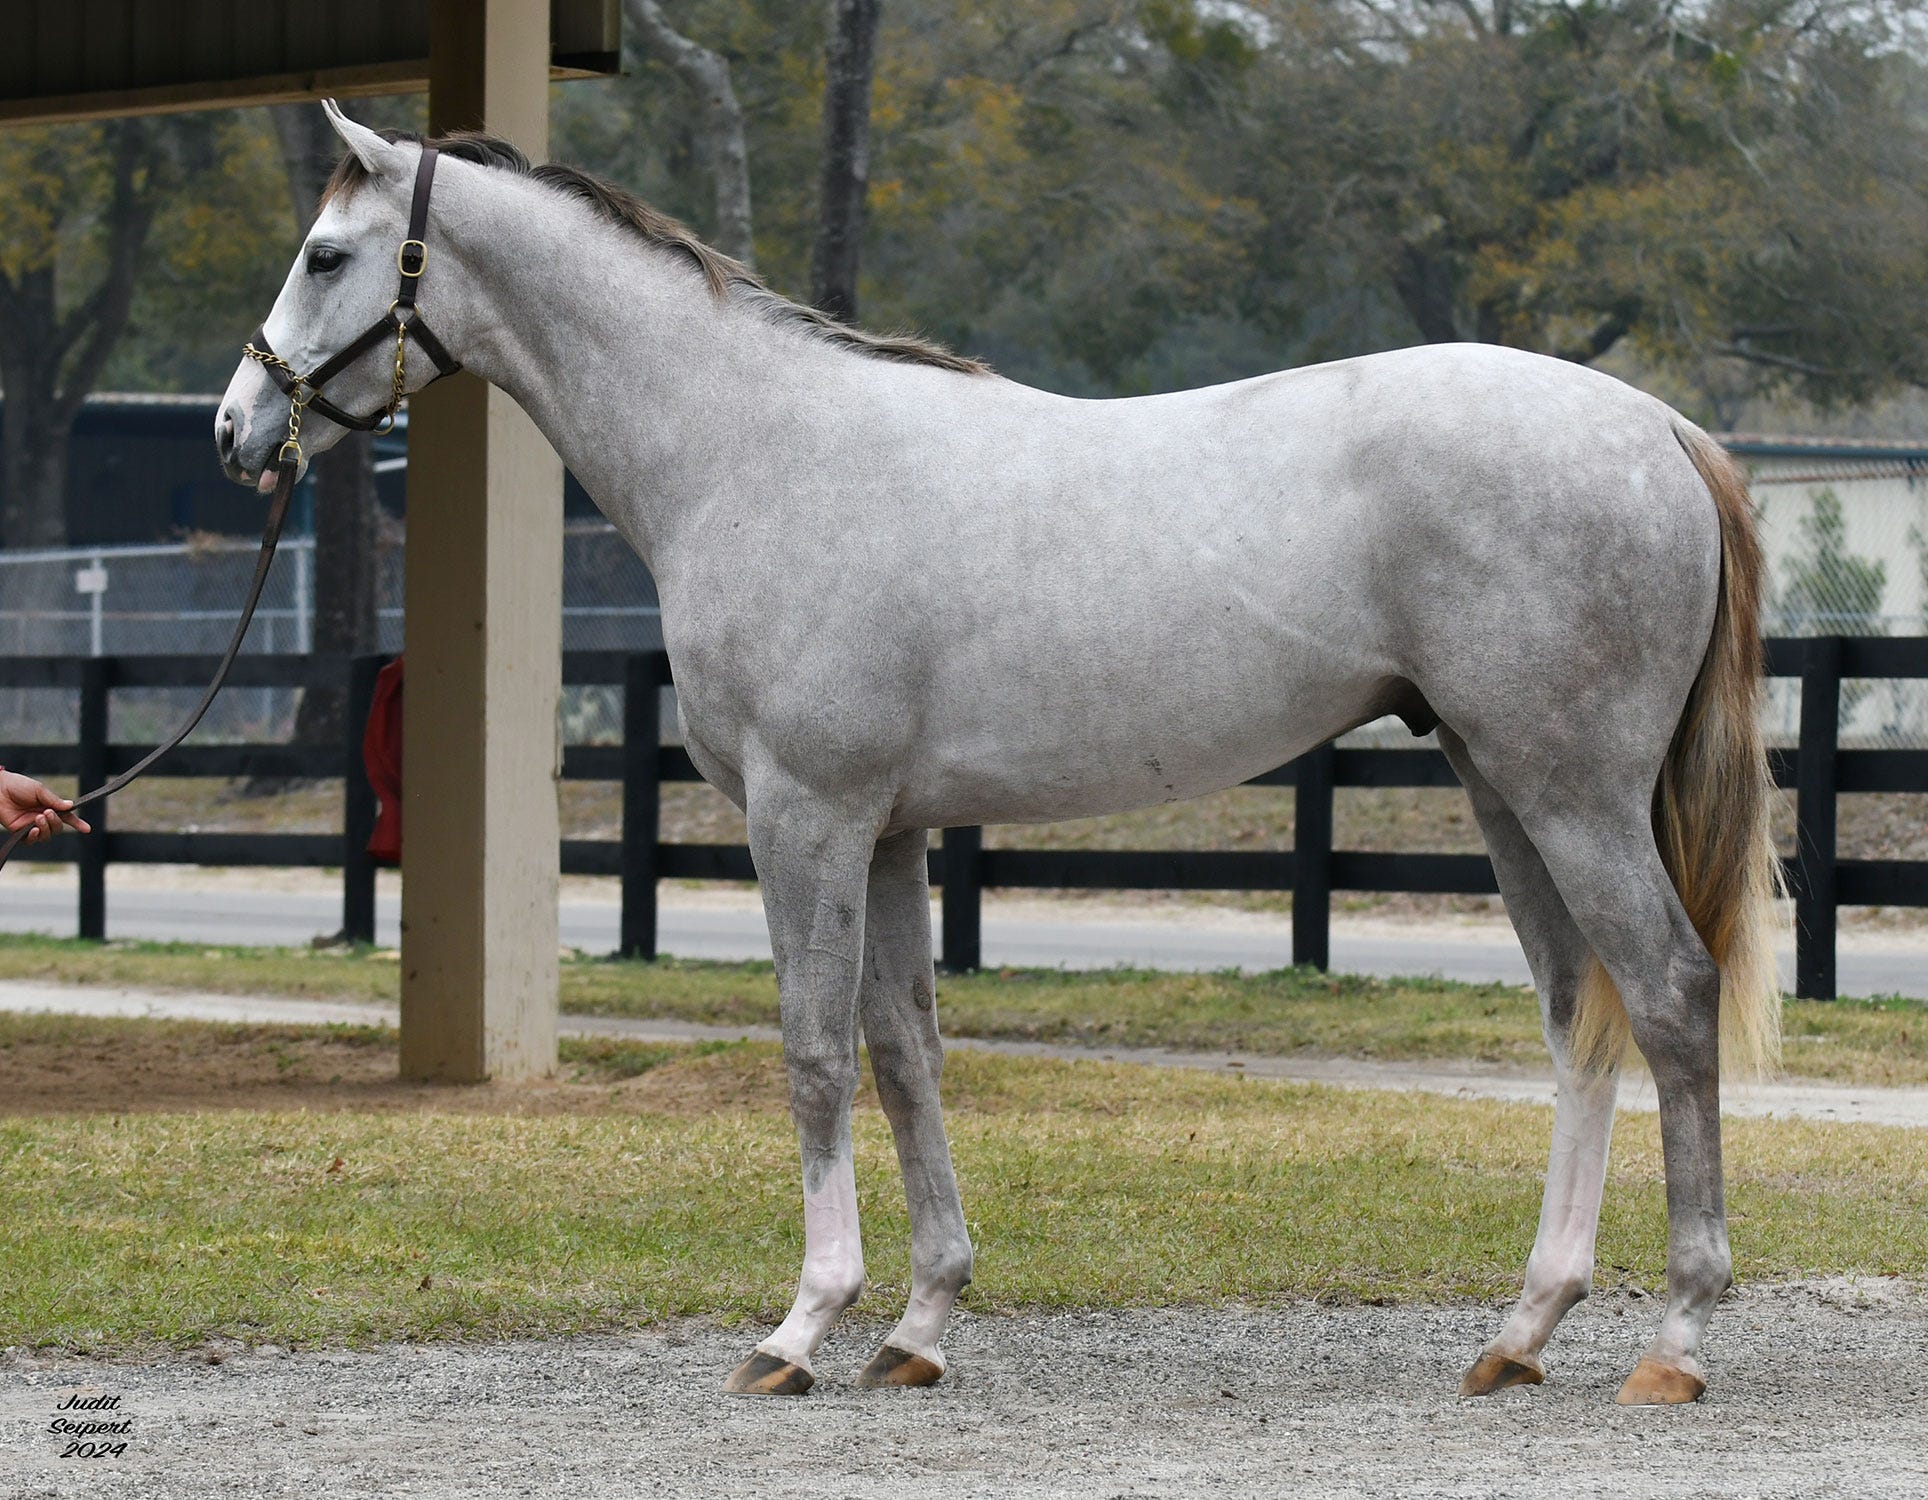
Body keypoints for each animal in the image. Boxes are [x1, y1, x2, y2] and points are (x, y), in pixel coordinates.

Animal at [218, 102, 1782, 1406]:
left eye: (324, 252)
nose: (239, 428)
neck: (752, 451)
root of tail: (1658, 425)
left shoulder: (806, 817)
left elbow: (811, 1052)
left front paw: (800, 1327)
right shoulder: (892, 830)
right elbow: (906, 1052)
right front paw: (917, 1326)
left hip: (1571, 792)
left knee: (1666, 994)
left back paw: (1676, 1338)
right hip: (1502, 782)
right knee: (1579, 1018)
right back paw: (1522, 1331)